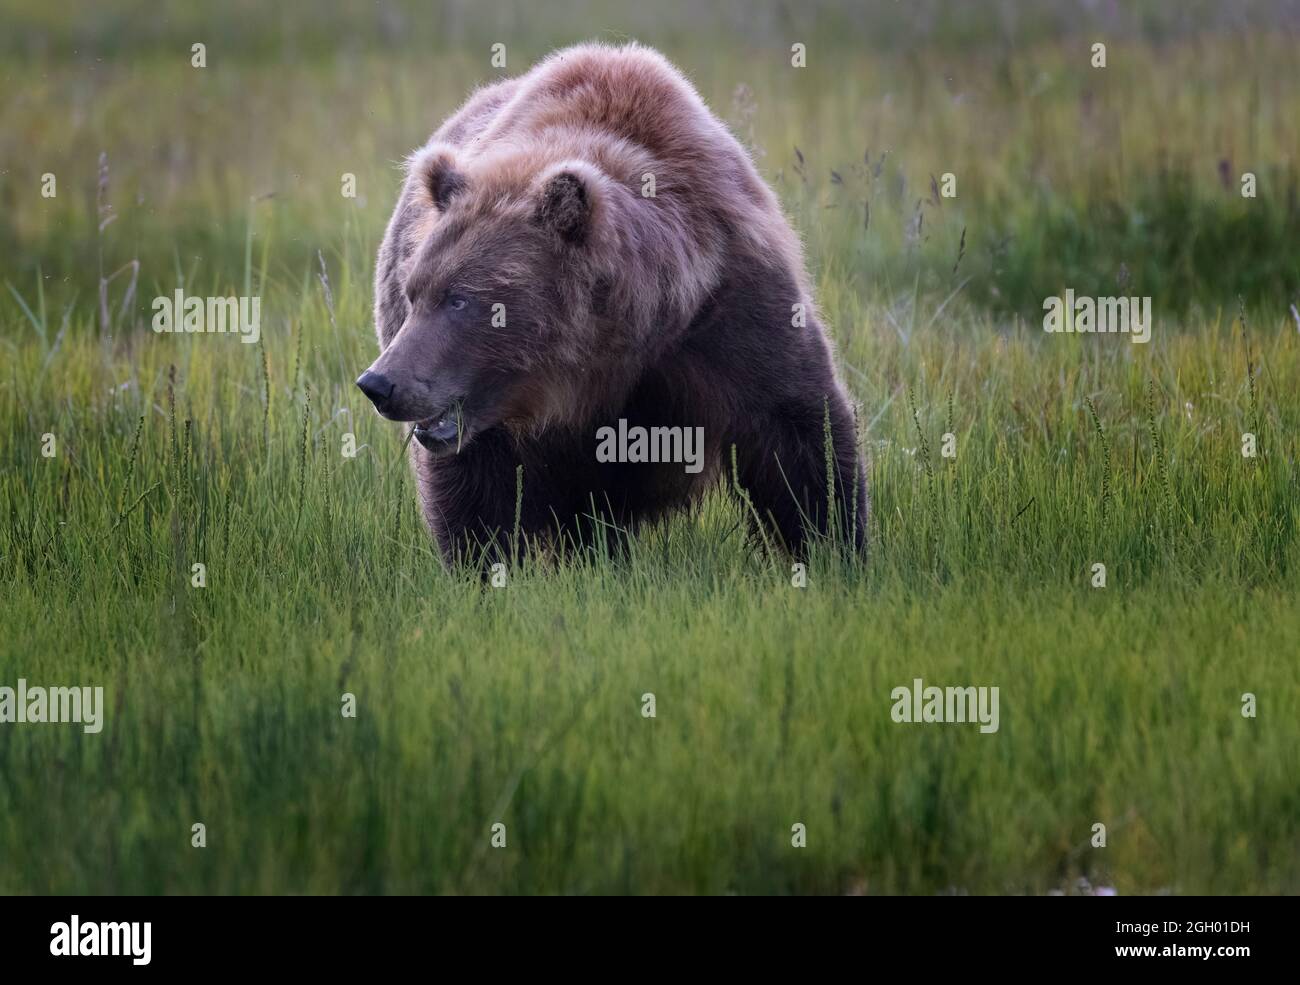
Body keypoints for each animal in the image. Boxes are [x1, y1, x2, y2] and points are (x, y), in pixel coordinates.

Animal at [359, 42, 868, 566]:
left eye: (460, 299)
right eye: (414, 293)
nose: (379, 383)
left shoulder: (732, 303)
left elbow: (795, 433)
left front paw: (832, 550)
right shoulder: (484, 417)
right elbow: (476, 488)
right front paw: (484, 564)